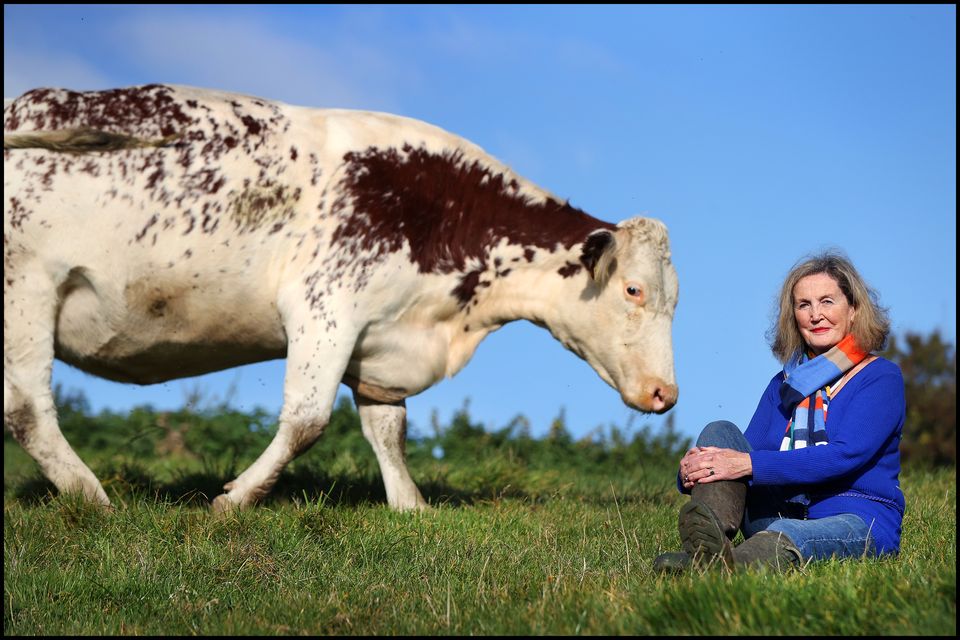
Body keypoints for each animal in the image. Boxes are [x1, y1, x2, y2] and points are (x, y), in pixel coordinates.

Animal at [4, 84, 679, 512]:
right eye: (633, 288)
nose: (665, 394)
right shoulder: (324, 307)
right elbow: (307, 421)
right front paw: (236, 499)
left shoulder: (379, 340)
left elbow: (389, 429)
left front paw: (411, 508)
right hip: (27, 291)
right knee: (29, 411)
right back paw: (93, 498)